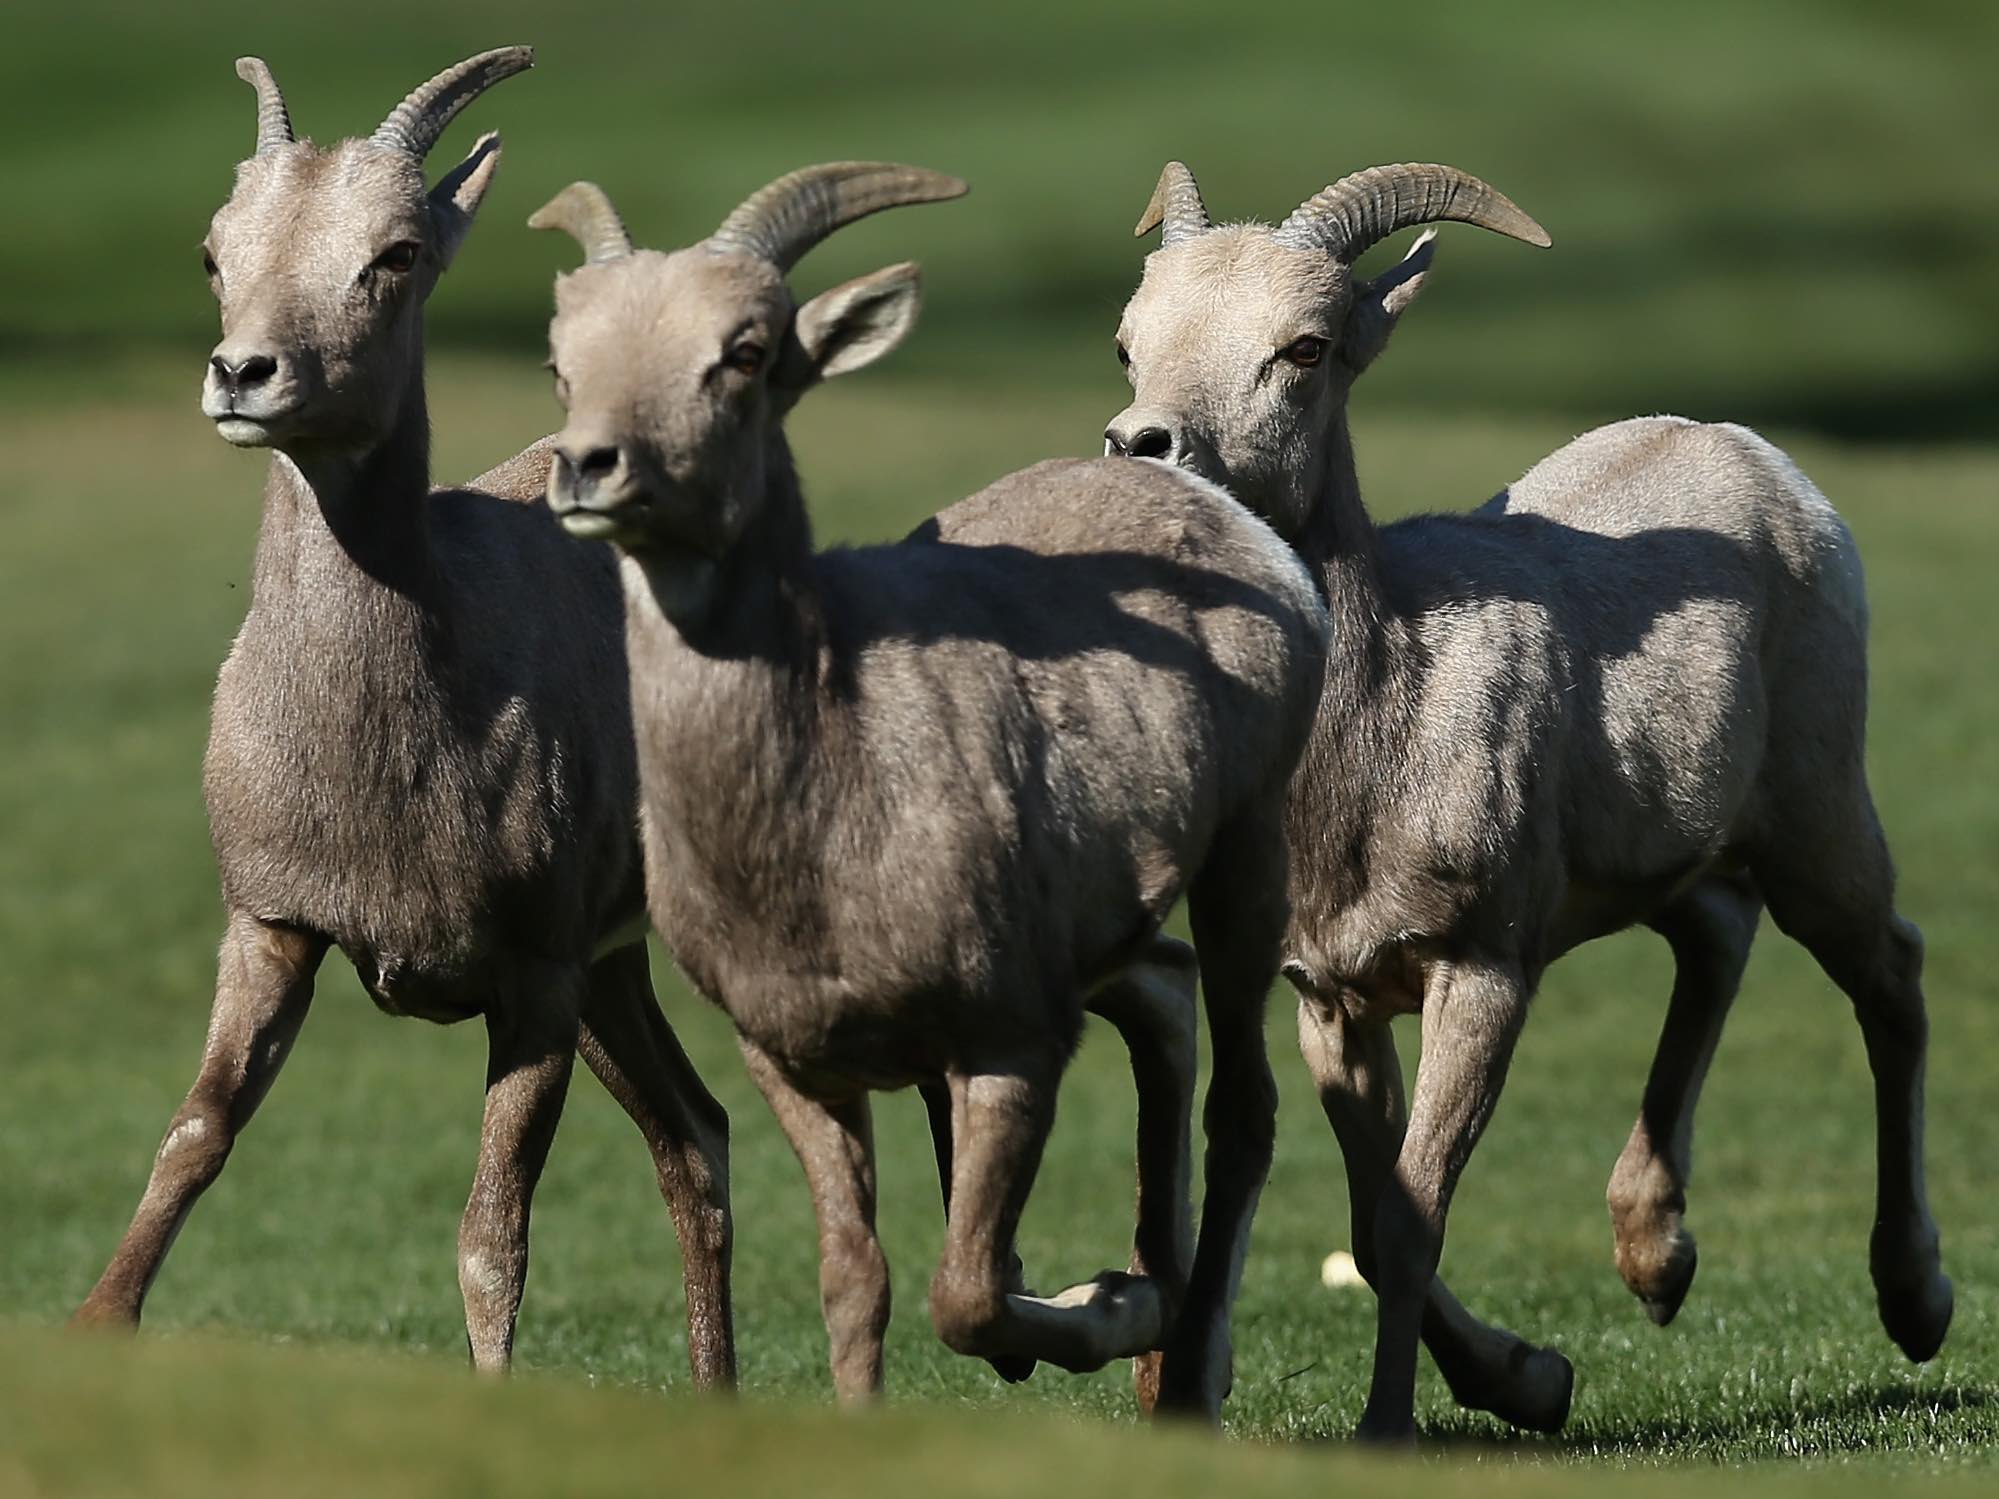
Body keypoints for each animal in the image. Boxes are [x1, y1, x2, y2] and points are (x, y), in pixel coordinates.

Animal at [71, 49, 737, 1388]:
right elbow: (193, 1137)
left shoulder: (531, 980)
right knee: (697, 1140)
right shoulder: (273, 929)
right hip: (615, 978)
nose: (244, 375)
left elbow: (492, 1233)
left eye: (397, 253)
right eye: (215, 253)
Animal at [529, 164, 1330, 1415]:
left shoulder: (1008, 1048)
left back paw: (1181, 1355)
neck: (826, 831)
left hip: (1245, 859)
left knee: (1241, 1097)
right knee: (1162, 992)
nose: (591, 465)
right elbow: (857, 1281)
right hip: (1107, 932)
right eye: (565, 357)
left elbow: (966, 1294)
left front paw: (1112, 1304)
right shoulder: (795, 1063)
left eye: (747, 351)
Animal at [1104, 159, 1951, 1440]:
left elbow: (1409, 1221)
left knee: (1888, 974)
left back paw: (1915, 1300)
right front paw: (1531, 1380)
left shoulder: (1483, 971)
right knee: (1716, 933)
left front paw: (1390, 1433)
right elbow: (1373, 1224)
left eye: (1305, 348)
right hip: (1666, 853)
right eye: (1128, 344)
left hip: (1818, 815)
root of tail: (1749, 453)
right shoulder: (1331, 1000)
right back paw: (1655, 1259)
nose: (1141, 447)